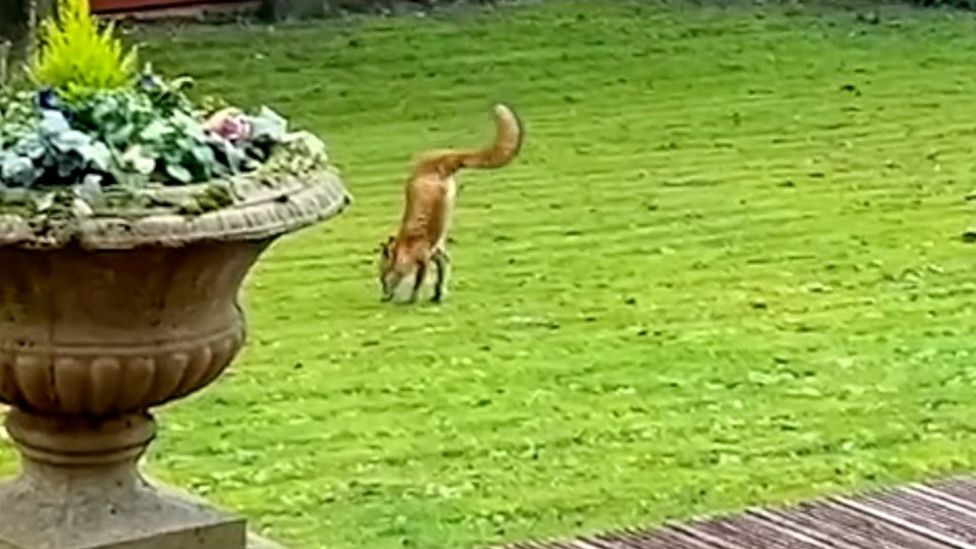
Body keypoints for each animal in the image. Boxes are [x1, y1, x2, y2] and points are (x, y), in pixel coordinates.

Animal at [377, 103, 524, 303]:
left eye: (383, 278)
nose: (383, 298)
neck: (408, 246)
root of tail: (435, 156)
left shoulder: (424, 258)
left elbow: (418, 283)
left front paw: (413, 300)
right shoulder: (436, 252)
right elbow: (443, 267)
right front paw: (438, 294)